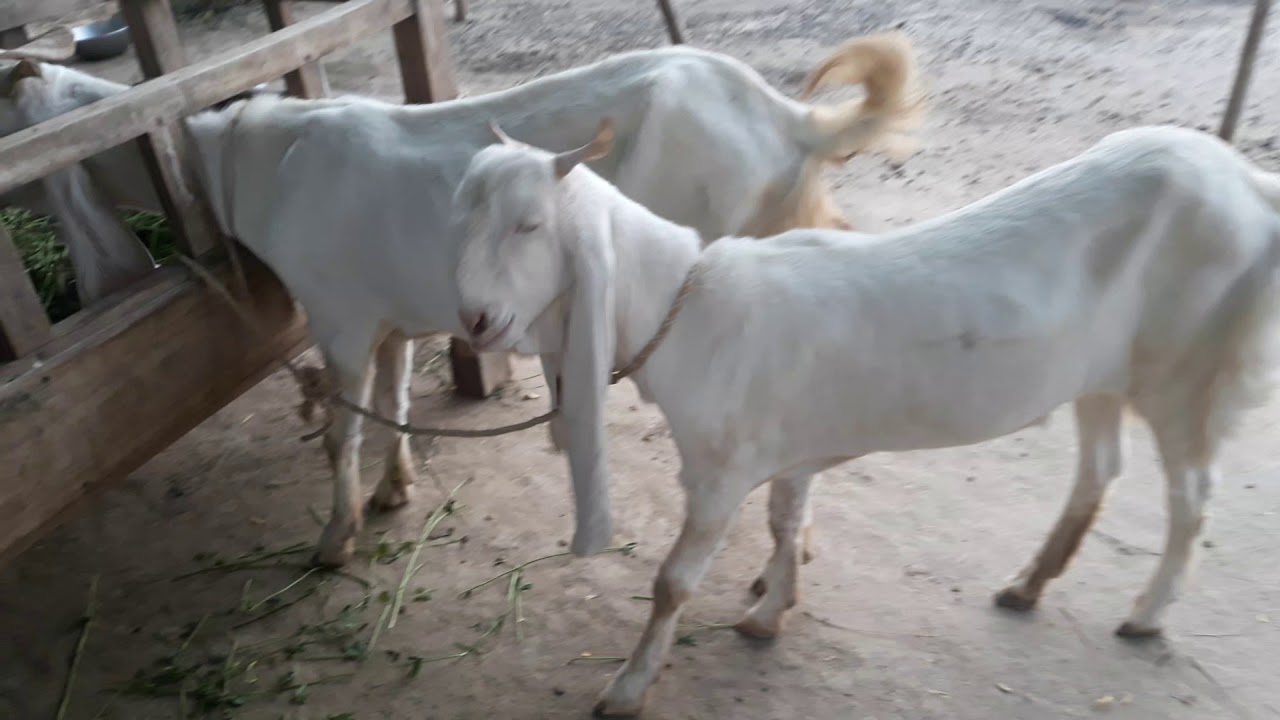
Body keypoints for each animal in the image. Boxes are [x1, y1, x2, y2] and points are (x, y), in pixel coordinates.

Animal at [451, 121, 1280, 715]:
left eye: (530, 225)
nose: (476, 320)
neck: (686, 308)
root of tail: (1249, 184)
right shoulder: (787, 450)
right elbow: (786, 522)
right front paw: (770, 612)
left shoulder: (719, 472)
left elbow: (673, 583)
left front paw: (627, 687)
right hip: (1104, 373)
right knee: (1102, 467)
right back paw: (1028, 584)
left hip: (1187, 366)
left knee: (1191, 493)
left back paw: (1146, 612)